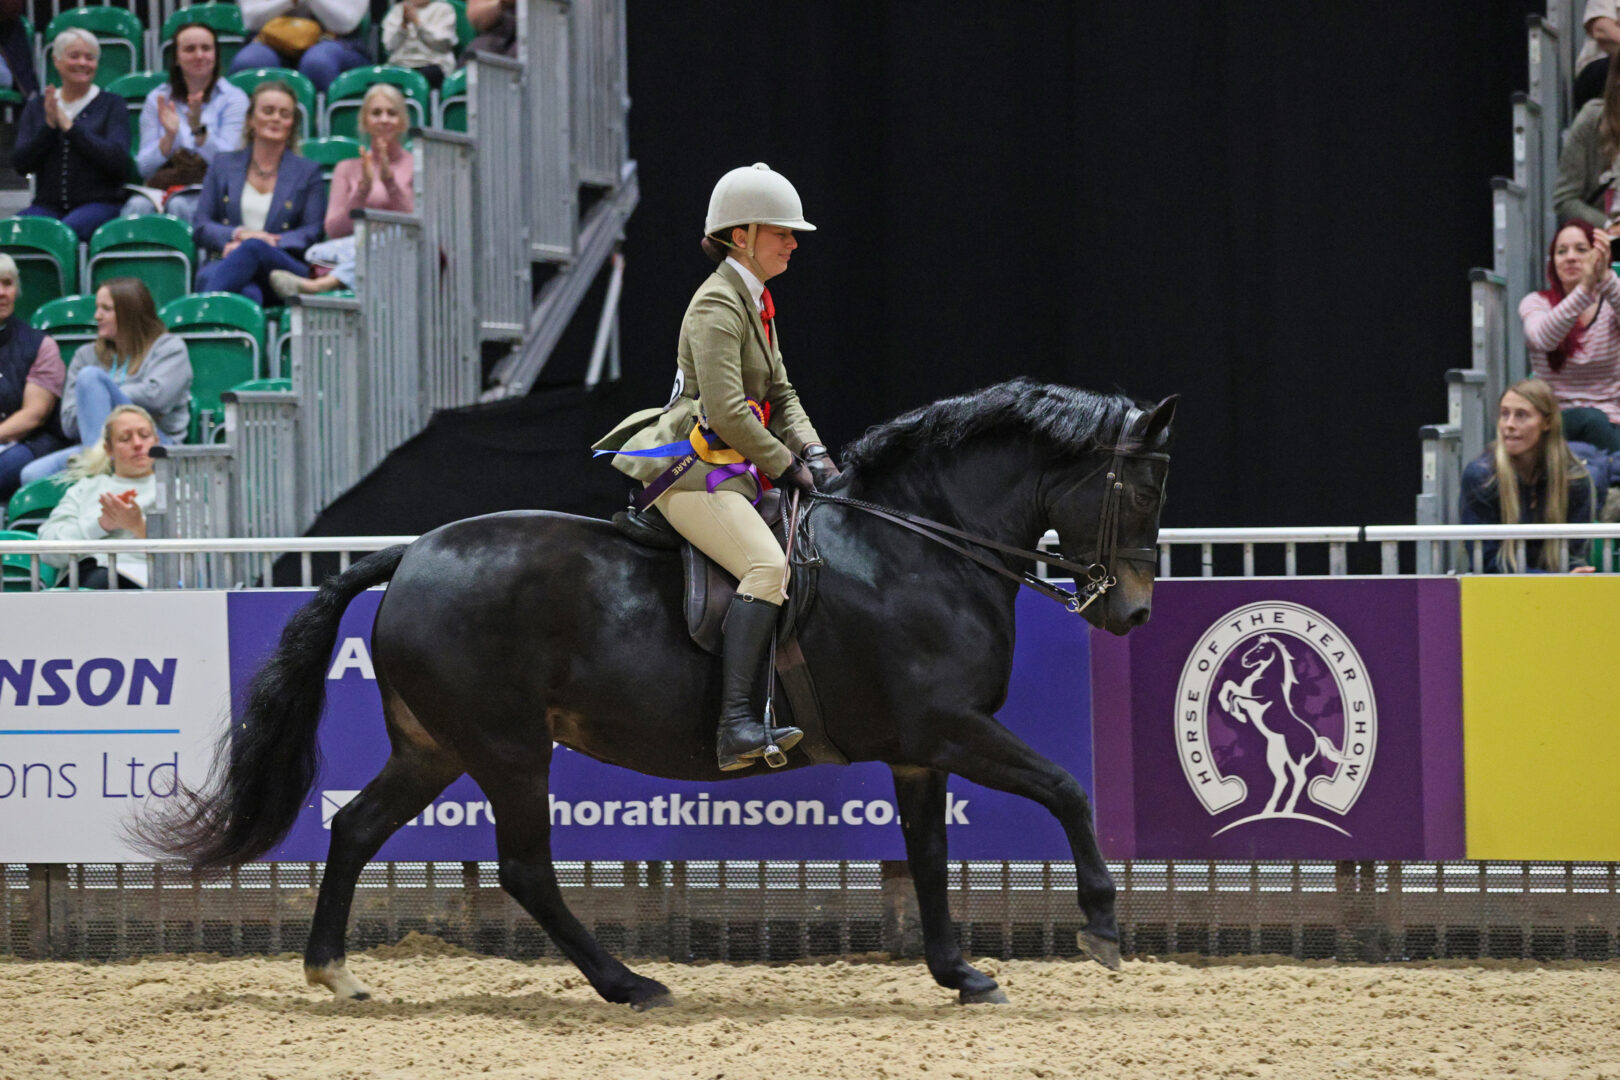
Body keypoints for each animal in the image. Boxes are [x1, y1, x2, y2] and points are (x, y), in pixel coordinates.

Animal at [135, 378, 1176, 1009]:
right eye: (1138, 492)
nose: (1131, 612)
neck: (912, 546)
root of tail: (414, 552)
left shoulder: (921, 750)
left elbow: (926, 858)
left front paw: (960, 972)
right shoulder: (951, 727)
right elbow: (1067, 790)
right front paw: (1101, 928)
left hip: (434, 746)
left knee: (355, 829)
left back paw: (335, 972)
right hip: (509, 748)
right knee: (524, 869)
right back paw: (629, 984)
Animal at [1216, 634, 1346, 816]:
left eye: (1261, 648)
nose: (1245, 660)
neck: (1267, 678)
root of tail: (1315, 740)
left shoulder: (1258, 702)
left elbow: (1236, 696)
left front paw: (1239, 715)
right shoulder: (1244, 691)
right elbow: (1229, 685)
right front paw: (1225, 704)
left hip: (1295, 759)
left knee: (1300, 779)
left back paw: (1288, 809)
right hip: (1276, 756)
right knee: (1282, 779)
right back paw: (1270, 809)